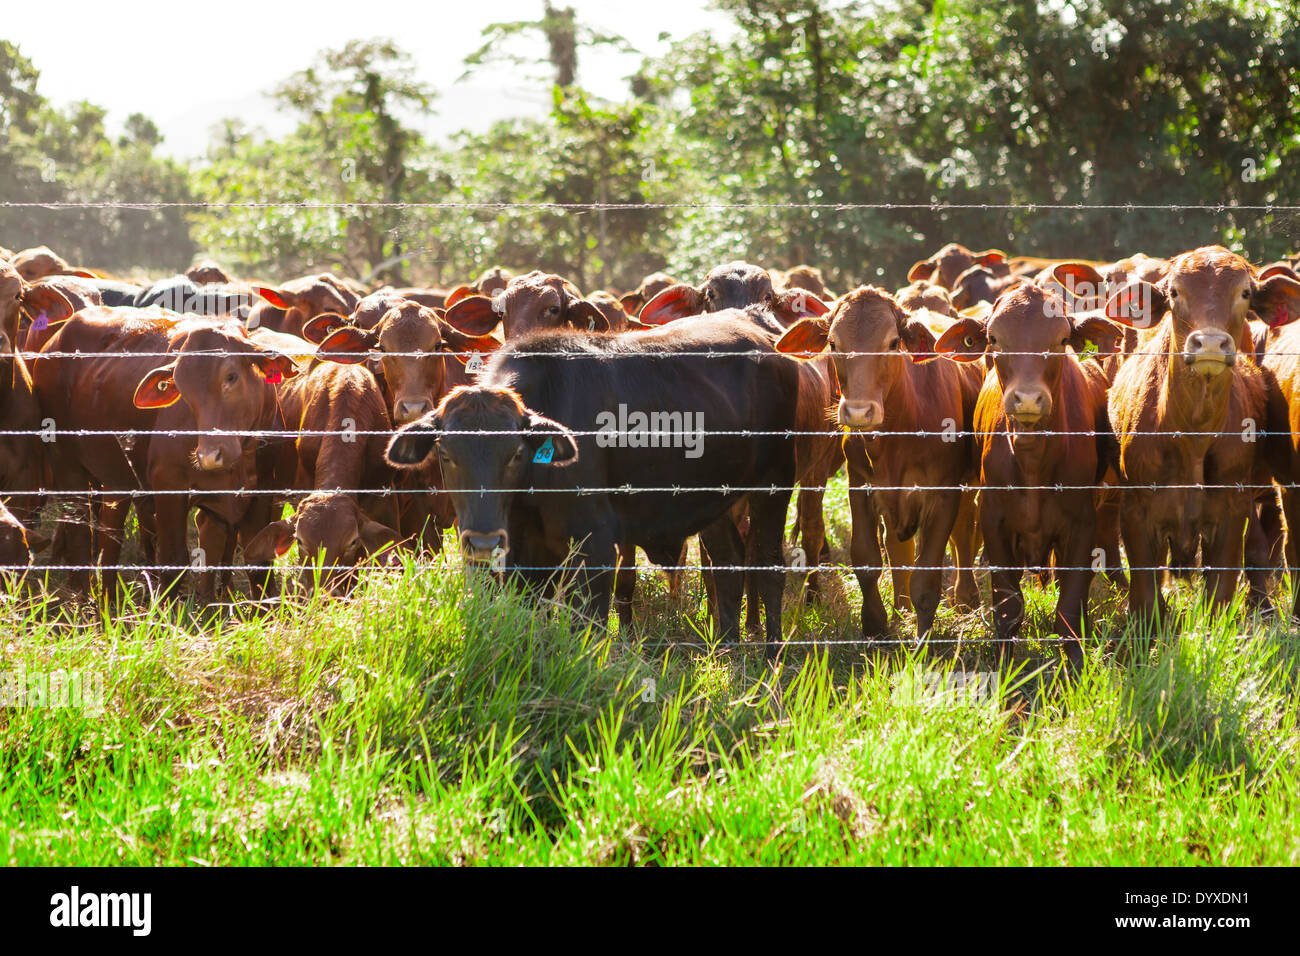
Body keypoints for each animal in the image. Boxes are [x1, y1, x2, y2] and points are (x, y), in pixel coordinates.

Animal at [385, 315, 801, 654]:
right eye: (445, 453)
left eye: (516, 453)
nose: (484, 542)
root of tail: (769, 344)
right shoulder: (523, 553)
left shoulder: (595, 544)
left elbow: (586, 625)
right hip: (718, 500)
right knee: (727, 563)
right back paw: (727, 647)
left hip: (774, 486)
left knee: (769, 566)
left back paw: (771, 657)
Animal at [775, 286, 982, 641]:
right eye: (833, 343)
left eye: (893, 342)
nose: (859, 411)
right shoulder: (861, 487)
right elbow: (867, 557)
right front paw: (875, 624)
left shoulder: (943, 494)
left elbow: (927, 575)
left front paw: (923, 636)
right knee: (899, 548)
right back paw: (901, 607)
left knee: (964, 532)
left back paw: (965, 600)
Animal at [933, 284, 1124, 664]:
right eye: (994, 338)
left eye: (1061, 339)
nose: (1028, 400)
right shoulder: (994, 522)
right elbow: (1009, 610)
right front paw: (1005, 669)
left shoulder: (1082, 524)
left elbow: (1068, 609)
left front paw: (1075, 669)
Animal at [1104, 246, 1300, 633]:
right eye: (1174, 292)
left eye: (1244, 293)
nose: (1209, 343)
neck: (1193, 436)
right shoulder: (1136, 511)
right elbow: (1146, 596)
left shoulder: (1232, 511)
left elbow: (1220, 595)